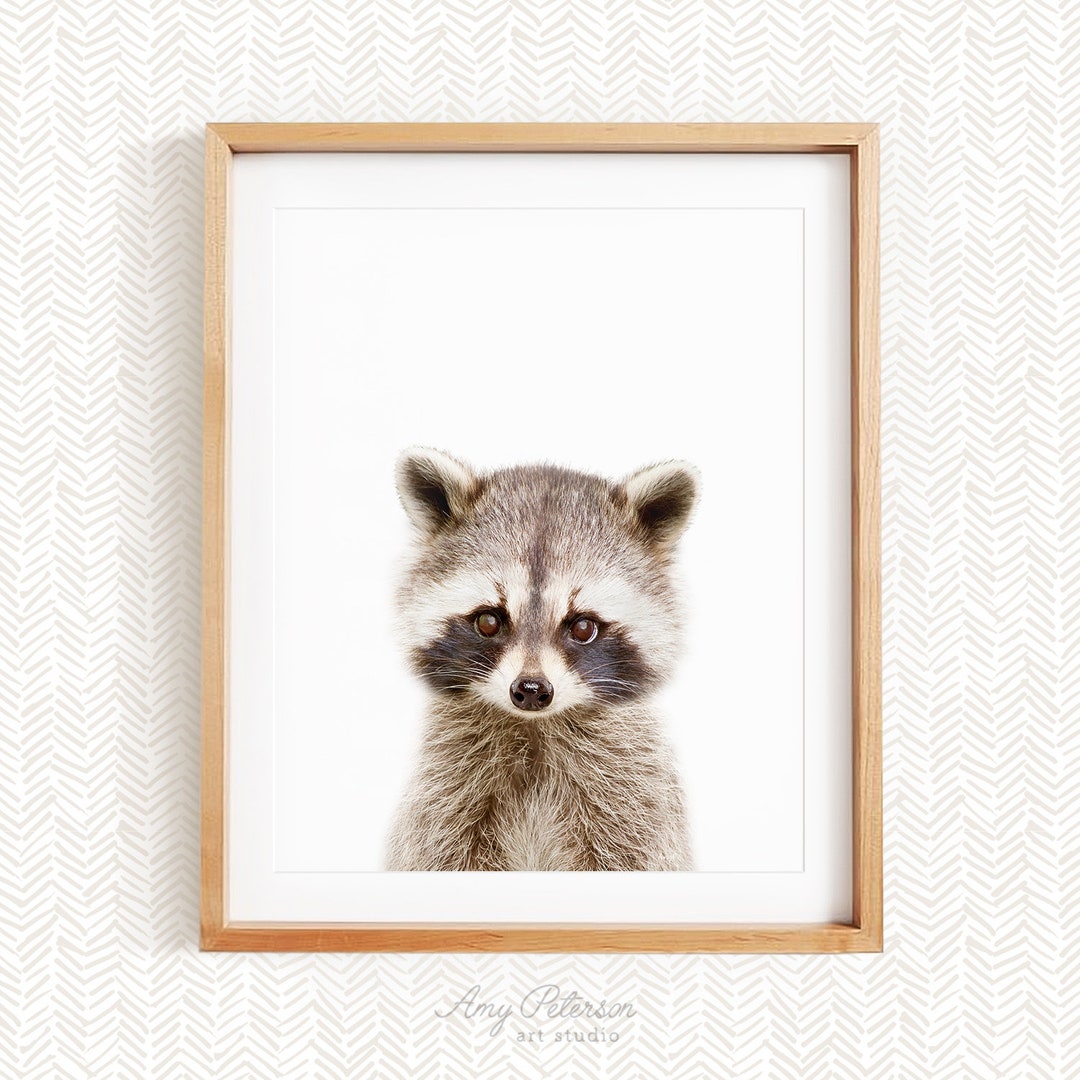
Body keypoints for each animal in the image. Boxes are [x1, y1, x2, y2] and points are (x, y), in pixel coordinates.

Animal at [384, 447, 699, 872]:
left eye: (582, 627)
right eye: (488, 621)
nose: (531, 689)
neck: (534, 729)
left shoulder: (634, 800)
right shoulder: (443, 797)